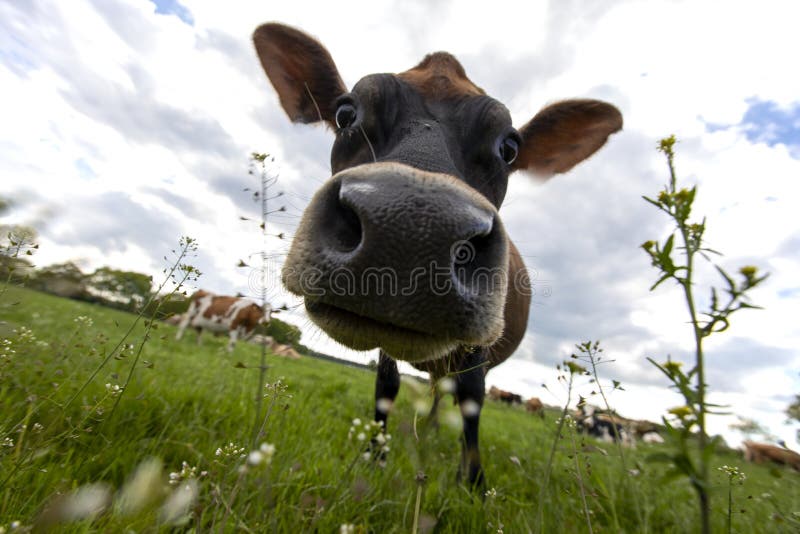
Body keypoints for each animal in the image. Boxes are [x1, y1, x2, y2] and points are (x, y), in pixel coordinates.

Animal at [252, 23, 622, 488]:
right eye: (345, 113)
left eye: (509, 147)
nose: (410, 231)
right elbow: (386, 387)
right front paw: (375, 455)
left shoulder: (478, 350)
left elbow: (472, 398)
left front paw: (474, 482)